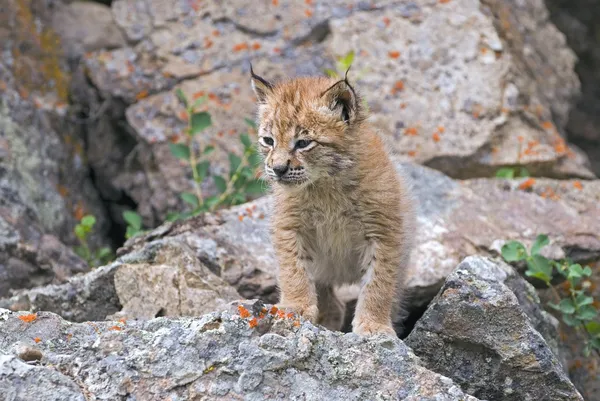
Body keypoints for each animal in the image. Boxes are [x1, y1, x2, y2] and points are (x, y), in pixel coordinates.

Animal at [251, 66, 414, 334]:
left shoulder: (384, 230)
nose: (278, 169)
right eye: (268, 141)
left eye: (303, 143)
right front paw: (295, 307)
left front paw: (374, 325)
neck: (326, 184)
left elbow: (379, 281)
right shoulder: (288, 224)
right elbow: (293, 269)